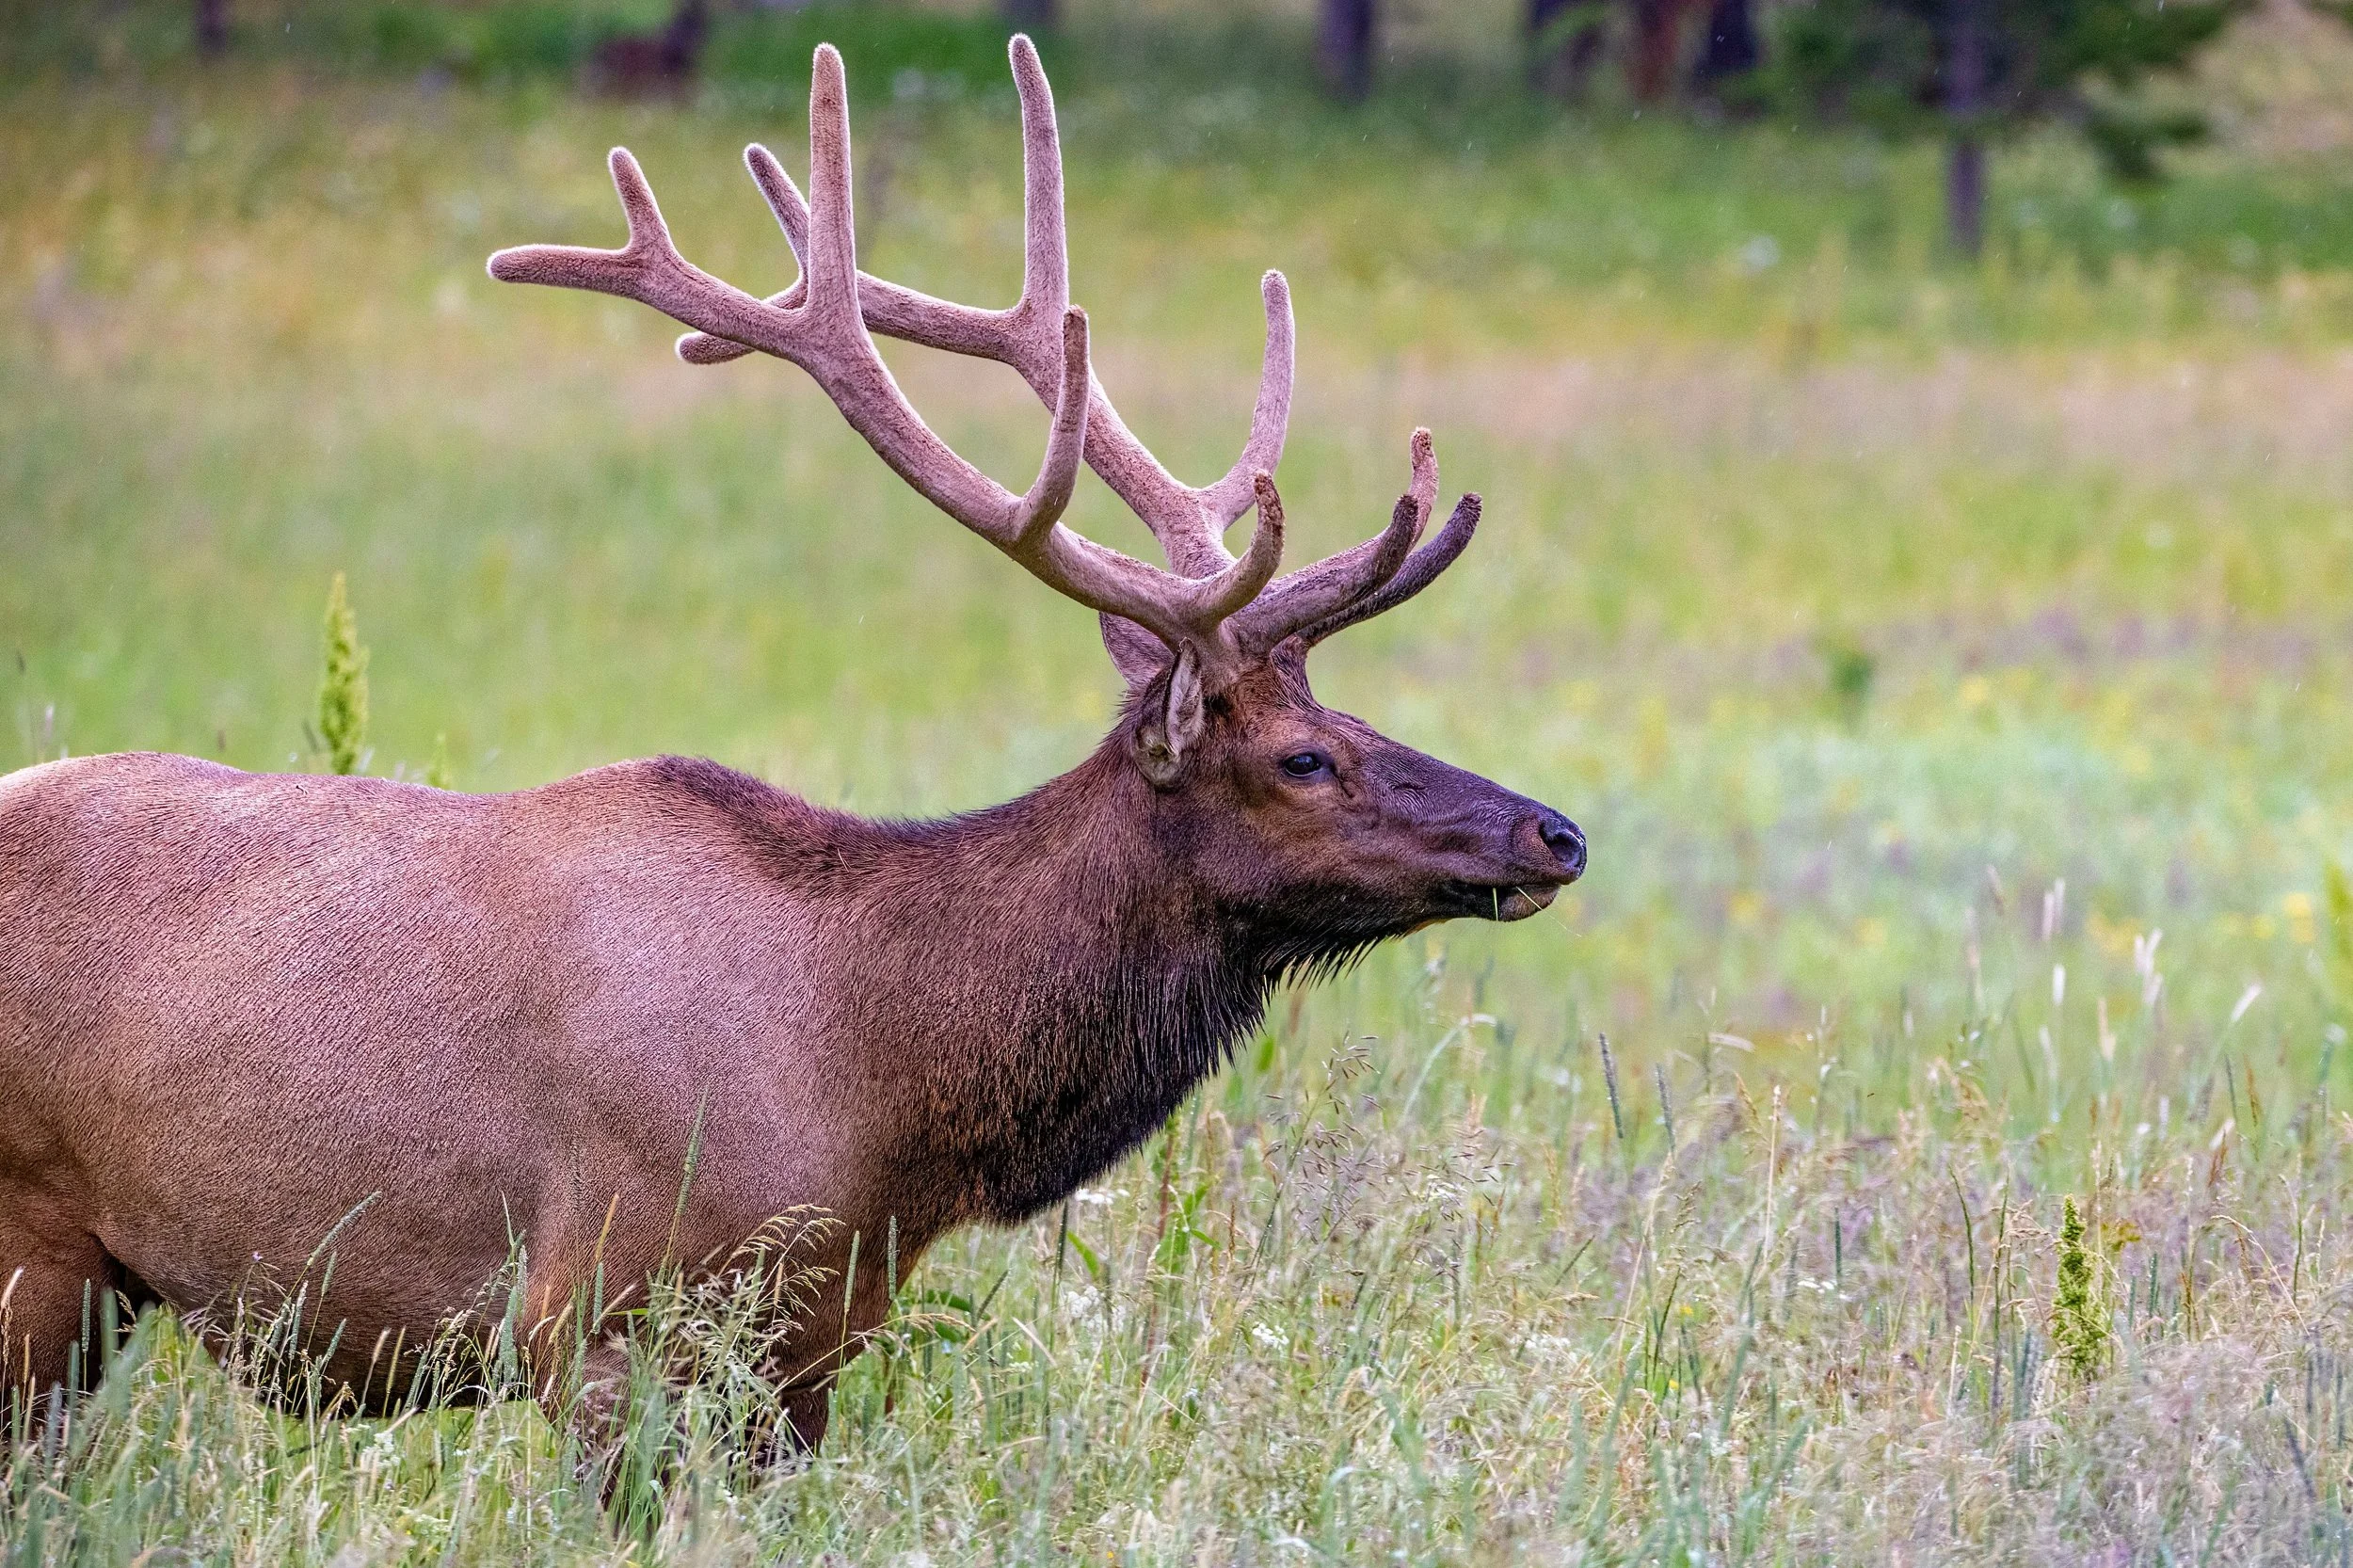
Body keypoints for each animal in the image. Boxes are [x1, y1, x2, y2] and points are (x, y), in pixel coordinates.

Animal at [0, 37, 1585, 1462]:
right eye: (1304, 759)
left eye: (1358, 716)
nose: (1552, 830)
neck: (884, 1094)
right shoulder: (600, 1317)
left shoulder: (811, 1349)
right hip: (35, 1243)